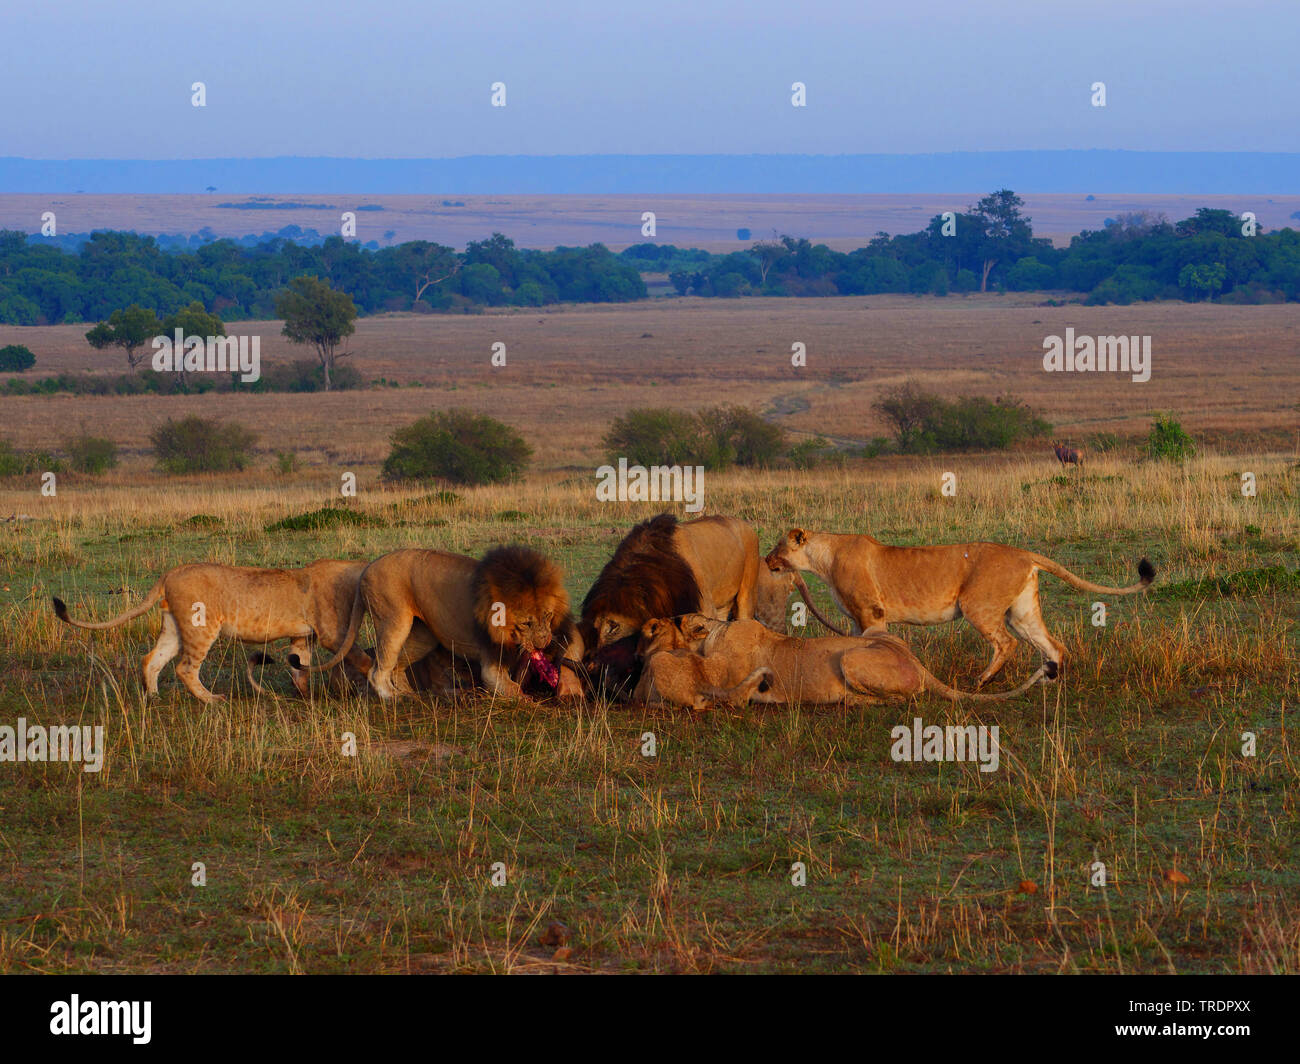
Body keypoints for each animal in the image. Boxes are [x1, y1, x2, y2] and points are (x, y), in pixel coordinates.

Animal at [52, 560, 373, 704]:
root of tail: (171, 572)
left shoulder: (302, 636)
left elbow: (299, 665)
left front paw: (306, 696)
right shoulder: (332, 634)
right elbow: (360, 658)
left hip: (174, 627)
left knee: (151, 659)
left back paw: (153, 696)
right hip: (202, 628)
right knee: (184, 668)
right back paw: (211, 699)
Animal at [297, 545, 584, 701]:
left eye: (548, 617)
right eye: (526, 623)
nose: (544, 643)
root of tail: (368, 567)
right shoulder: (490, 657)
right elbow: (503, 684)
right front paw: (527, 699)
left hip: (423, 635)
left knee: (397, 665)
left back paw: (410, 694)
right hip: (393, 619)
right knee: (378, 668)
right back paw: (393, 698)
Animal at [765, 528, 1155, 686]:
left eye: (778, 546)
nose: (766, 560)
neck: (823, 558)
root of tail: (1024, 553)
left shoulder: (871, 613)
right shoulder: (858, 619)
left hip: (977, 605)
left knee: (1006, 644)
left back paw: (982, 680)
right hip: (1022, 612)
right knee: (1053, 644)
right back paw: (1049, 681)